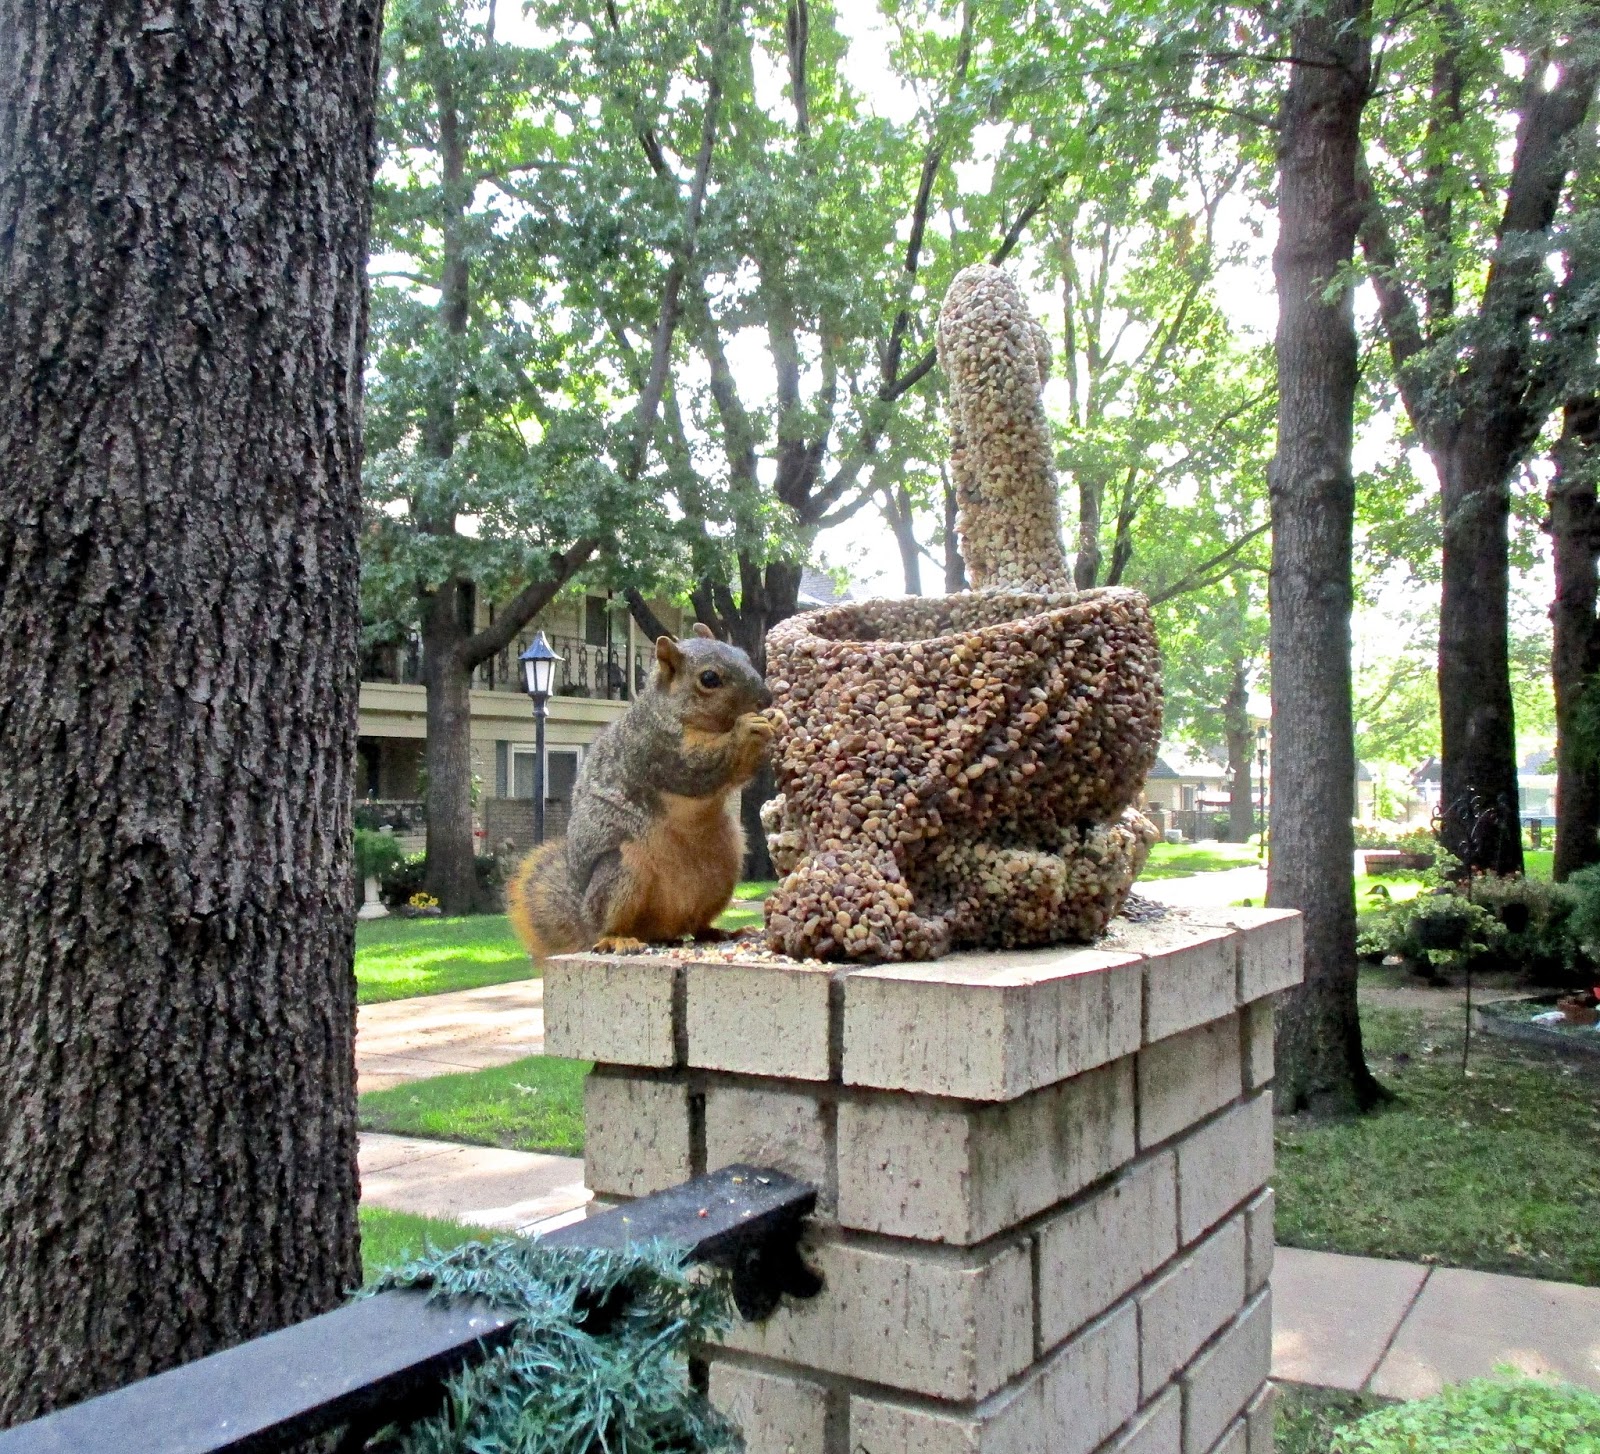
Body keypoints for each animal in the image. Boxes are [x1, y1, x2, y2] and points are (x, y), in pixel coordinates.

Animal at [507, 624, 775, 960]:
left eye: (744, 655)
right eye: (709, 678)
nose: (766, 699)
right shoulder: (655, 748)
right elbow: (697, 769)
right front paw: (748, 729)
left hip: (725, 868)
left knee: (695, 924)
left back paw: (722, 931)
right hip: (623, 871)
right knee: (609, 925)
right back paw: (617, 939)